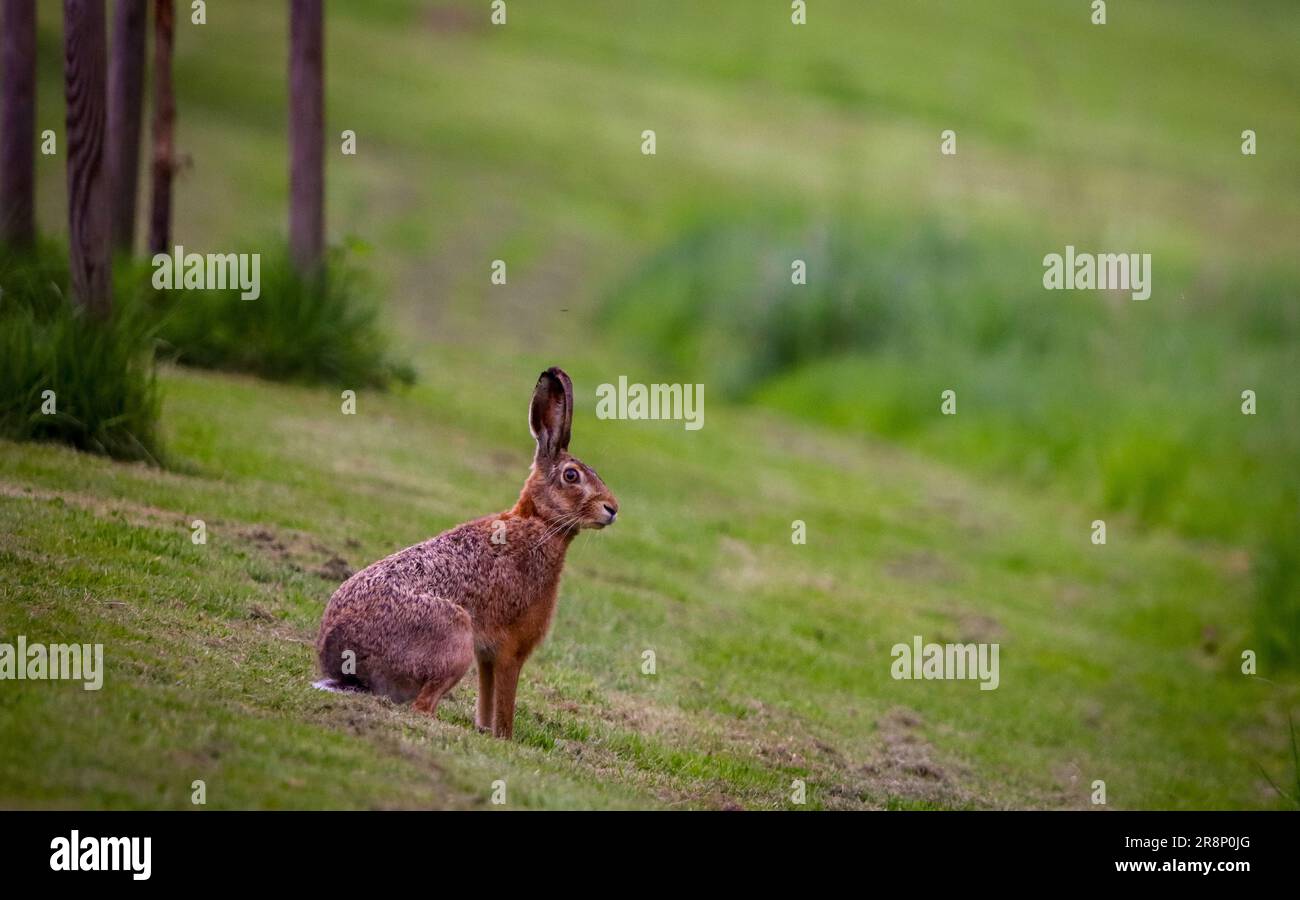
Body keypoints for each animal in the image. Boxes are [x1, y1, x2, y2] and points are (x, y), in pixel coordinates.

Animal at [314, 367, 618, 739]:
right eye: (571, 476)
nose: (612, 509)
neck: (539, 521)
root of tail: (342, 661)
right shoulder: (511, 649)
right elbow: (505, 700)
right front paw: (505, 737)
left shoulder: (486, 654)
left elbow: (486, 698)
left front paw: (485, 729)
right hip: (455, 639)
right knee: (422, 707)